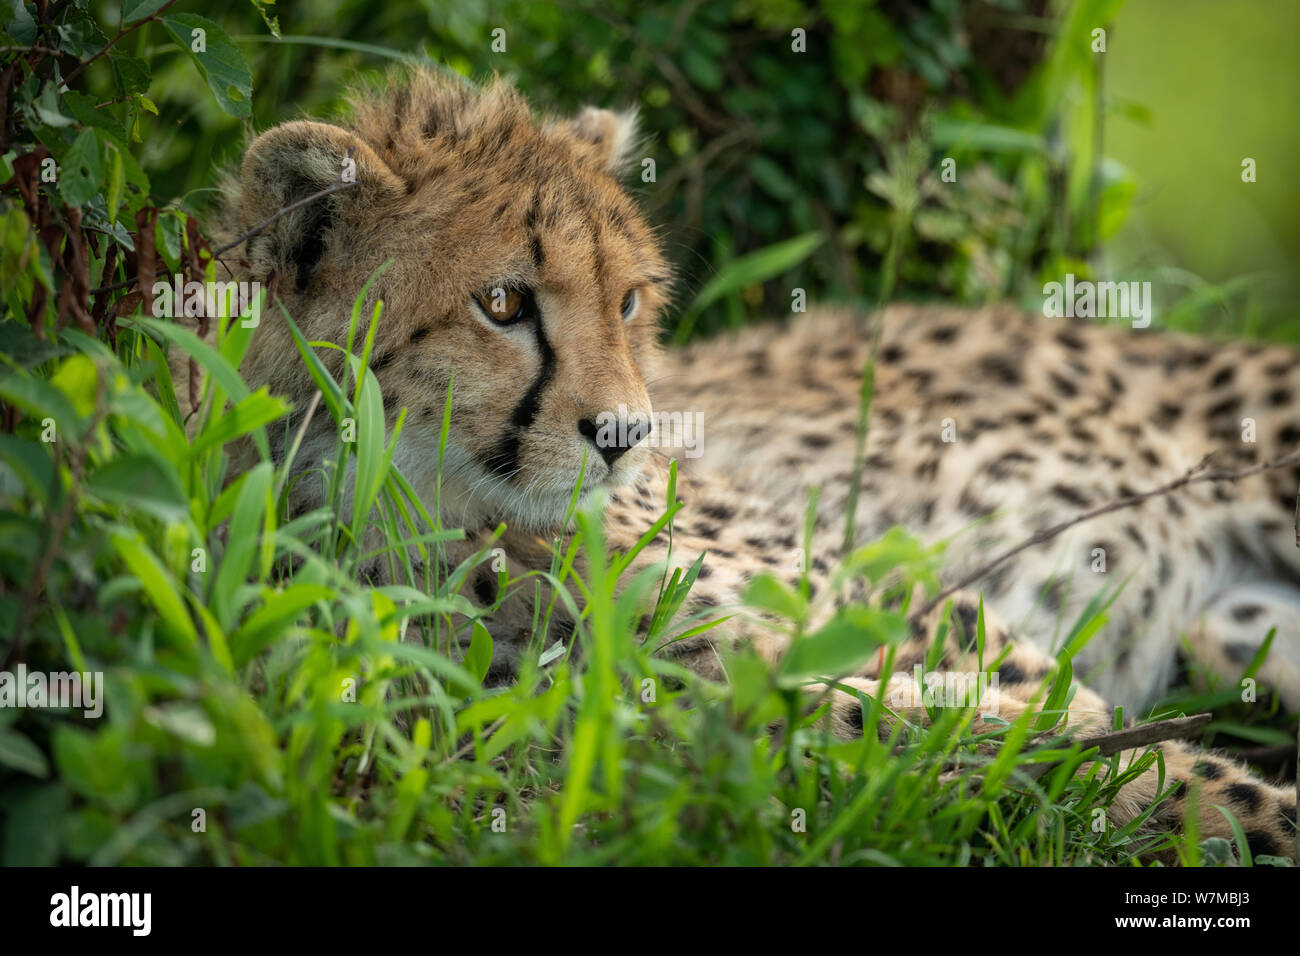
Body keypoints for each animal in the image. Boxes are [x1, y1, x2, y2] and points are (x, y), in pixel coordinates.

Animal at [183, 68, 1298, 862]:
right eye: (501, 304)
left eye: (628, 301)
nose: (627, 436)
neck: (444, 518)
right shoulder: (652, 712)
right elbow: (964, 741)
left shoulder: (896, 600)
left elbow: (1039, 707)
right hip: (1236, 626)